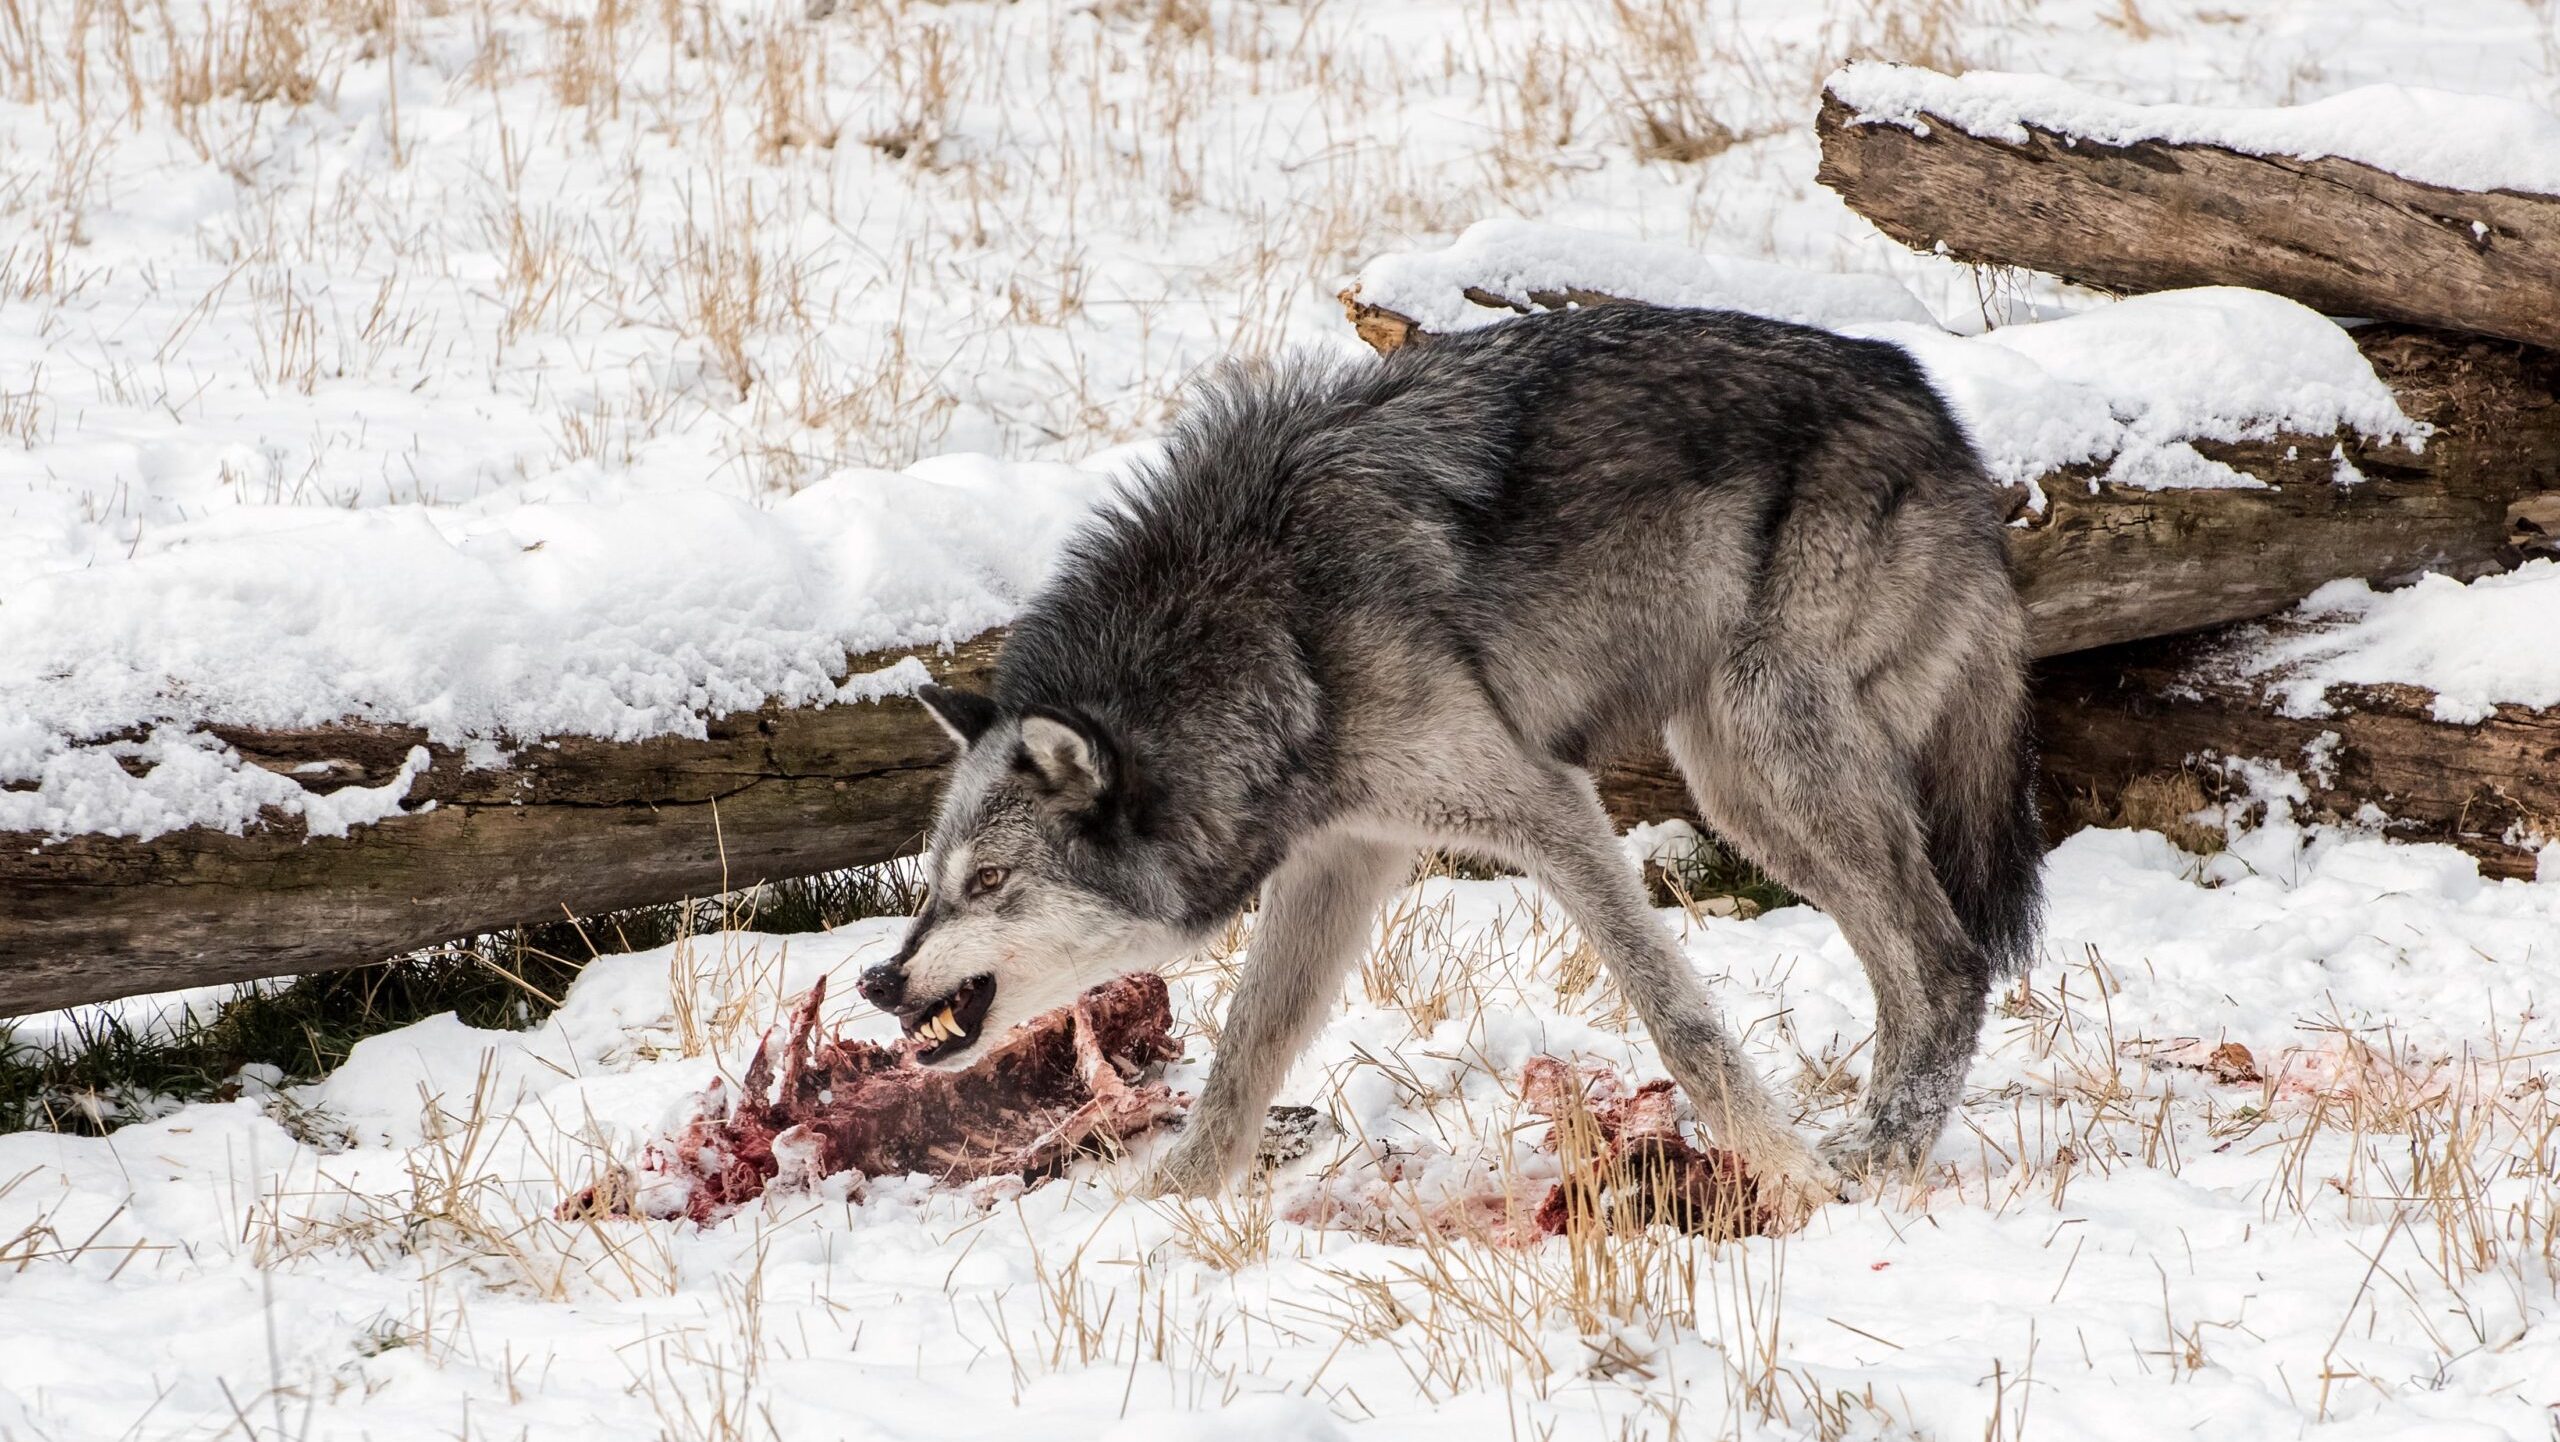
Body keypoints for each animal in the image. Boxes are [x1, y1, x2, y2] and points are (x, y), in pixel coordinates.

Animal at [855, 304, 2044, 1220]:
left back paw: (1874, 1158)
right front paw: (1163, 1205)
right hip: (1745, 781)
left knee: (1946, 960)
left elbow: (1682, 1019)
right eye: (933, 879)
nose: (876, 979)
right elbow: (1245, 1050)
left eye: (991, 880)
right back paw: (1883, 1143)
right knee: (1917, 967)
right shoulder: (1343, 857)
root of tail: (1931, 401)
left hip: (1757, 756)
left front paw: (1789, 1175)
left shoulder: (1547, 806)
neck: (1270, 630)